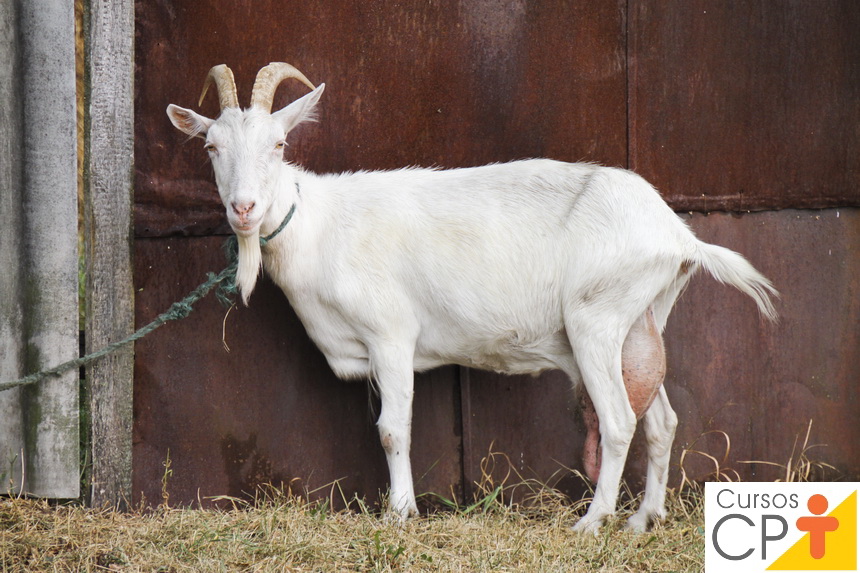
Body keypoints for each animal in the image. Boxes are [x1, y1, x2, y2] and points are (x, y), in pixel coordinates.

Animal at [167, 63, 777, 533]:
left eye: (279, 144)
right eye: (212, 147)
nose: (243, 208)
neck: (321, 227)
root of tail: (678, 235)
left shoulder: (391, 334)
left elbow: (393, 428)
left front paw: (400, 514)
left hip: (596, 320)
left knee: (621, 420)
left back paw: (591, 523)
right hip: (641, 323)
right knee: (661, 420)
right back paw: (642, 519)